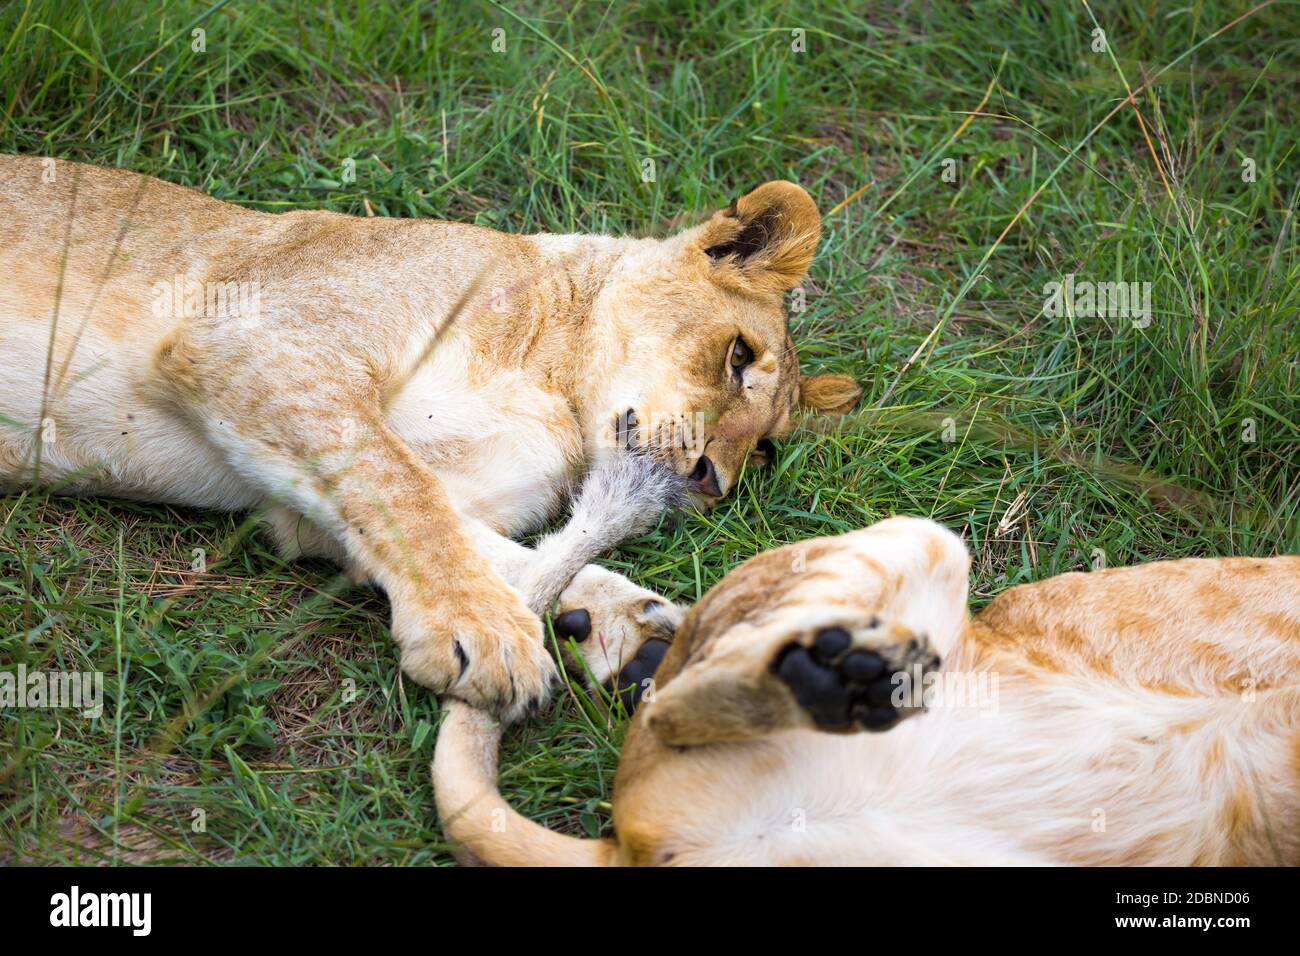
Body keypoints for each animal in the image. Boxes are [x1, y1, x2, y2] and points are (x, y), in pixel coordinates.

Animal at [0, 156, 859, 721]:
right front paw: (485, 636)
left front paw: (633, 637)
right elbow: (400, 489)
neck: (556, 389)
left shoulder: (307, 512)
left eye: (768, 447)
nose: (713, 480)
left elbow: (478, 542)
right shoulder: (255, 338)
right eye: (739, 355)